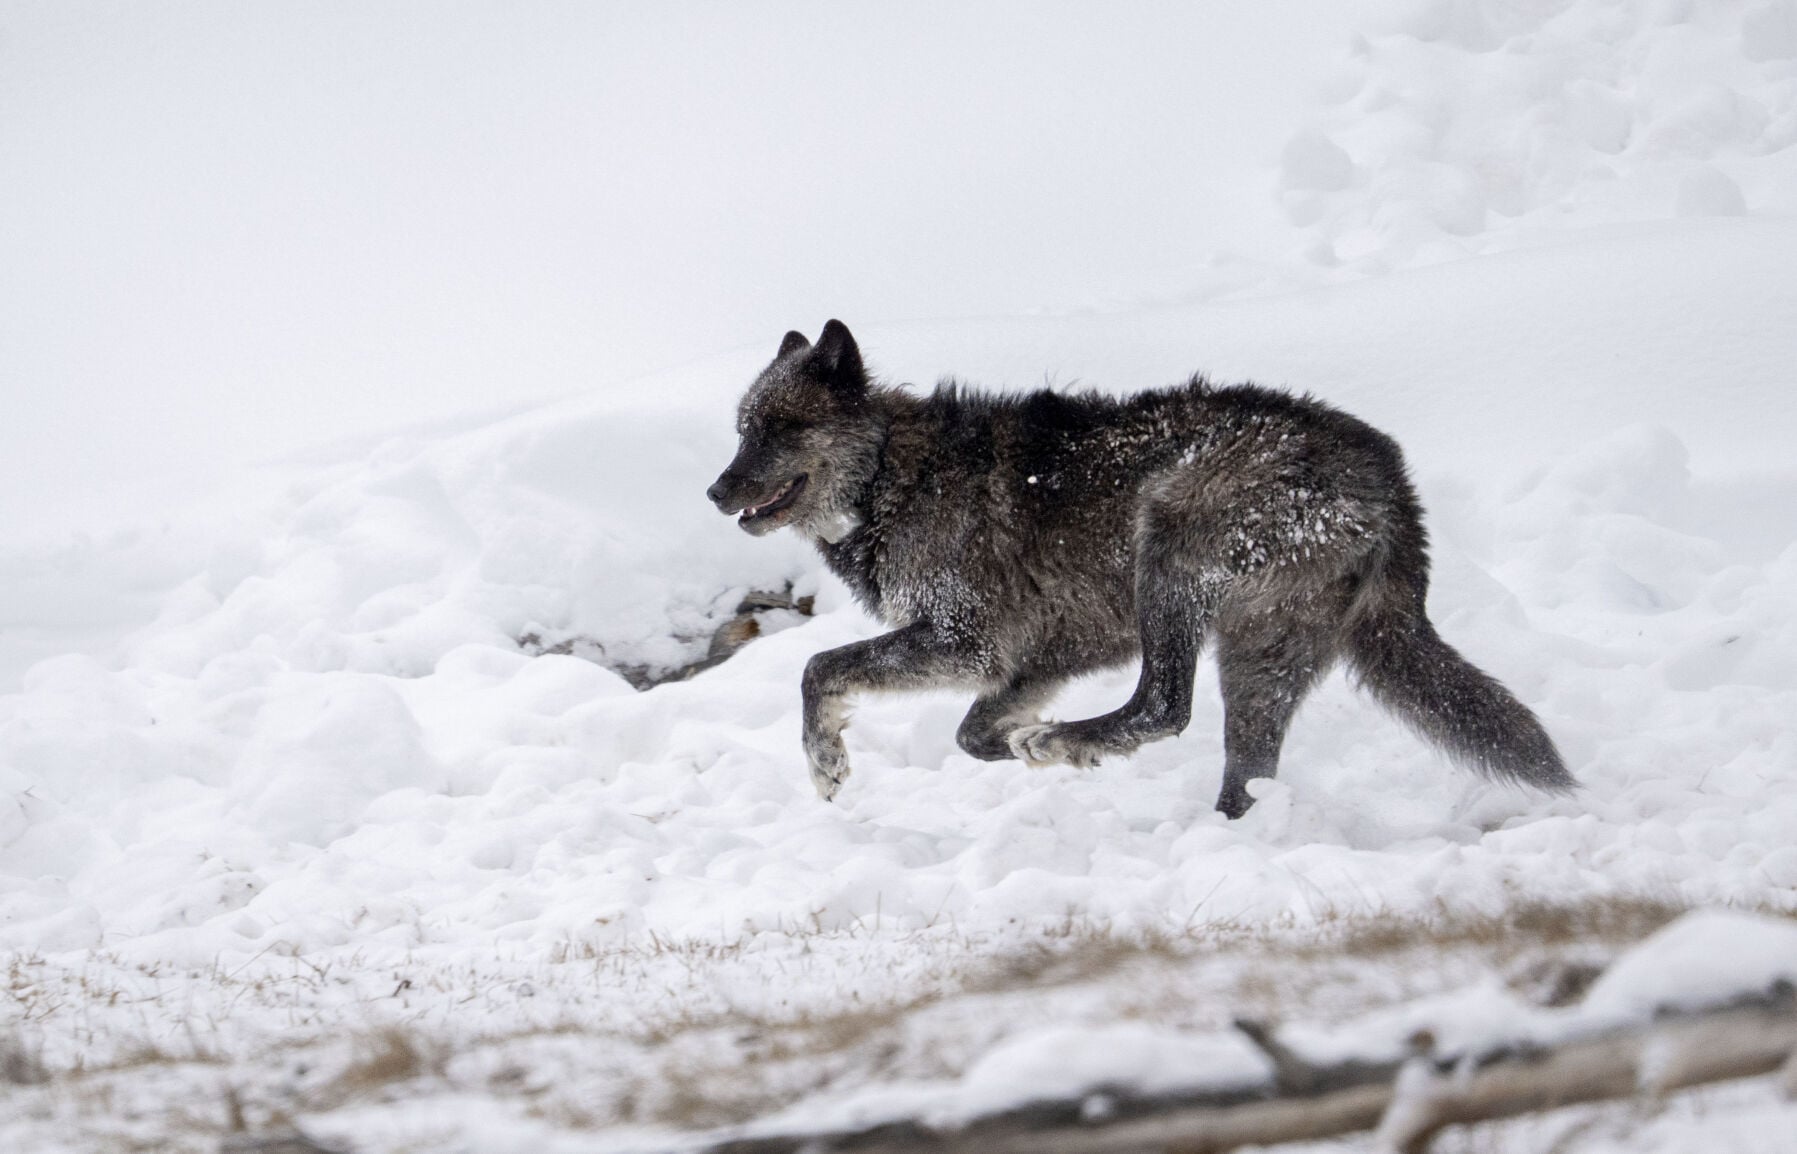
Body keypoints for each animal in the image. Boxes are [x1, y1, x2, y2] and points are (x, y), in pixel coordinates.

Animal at [706, 321, 1573, 817]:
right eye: (741, 429)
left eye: (780, 429)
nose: (716, 491)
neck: (892, 473)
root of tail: (1386, 472)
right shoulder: (1045, 656)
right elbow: (972, 734)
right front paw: (1049, 750)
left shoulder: (965, 643)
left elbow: (819, 667)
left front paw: (826, 763)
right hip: (1260, 659)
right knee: (1243, 771)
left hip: (1168, 549)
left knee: (1166, 705)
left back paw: (1066, 744)